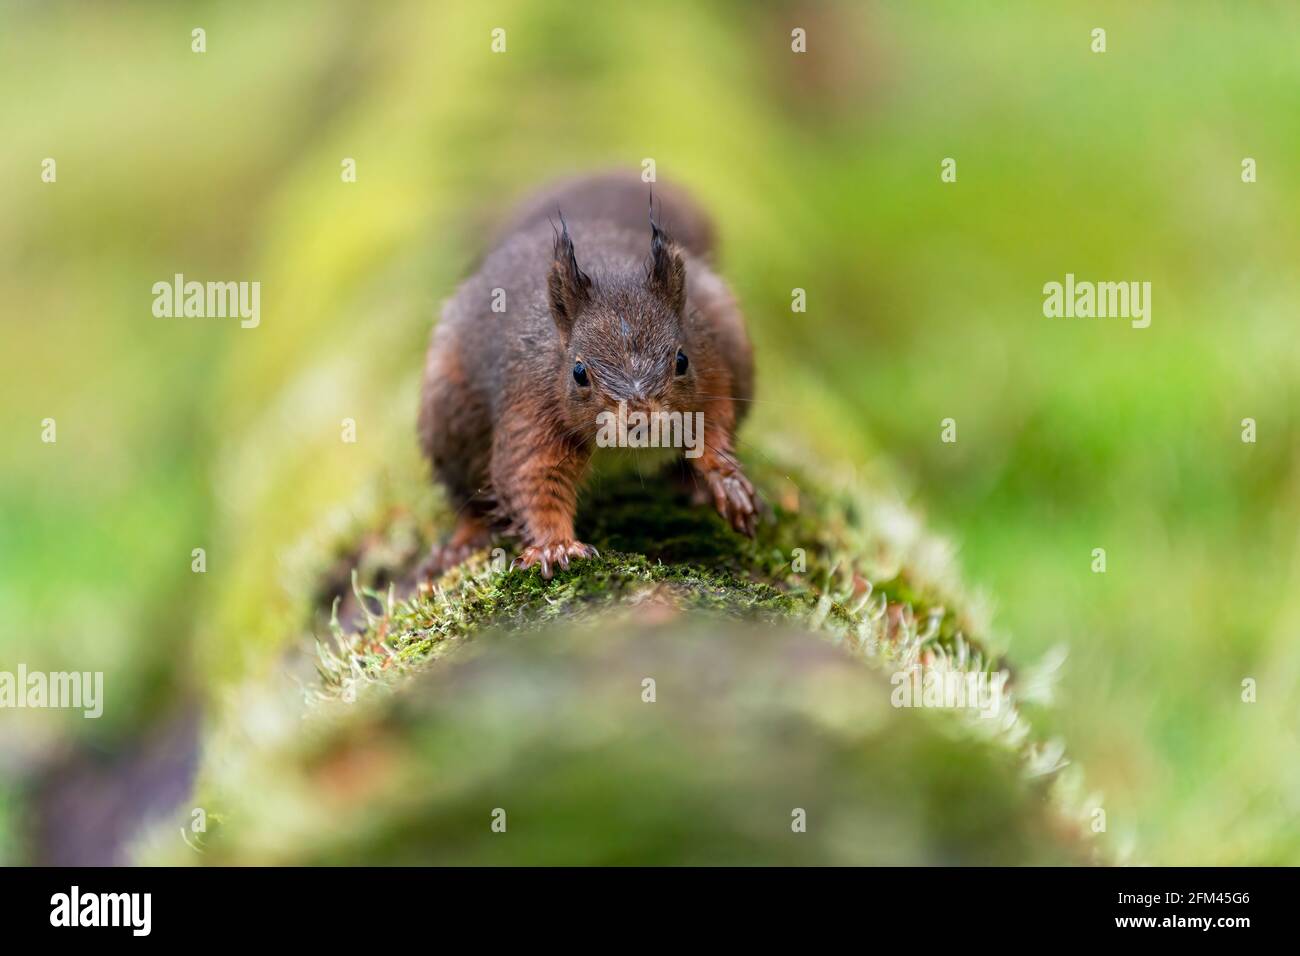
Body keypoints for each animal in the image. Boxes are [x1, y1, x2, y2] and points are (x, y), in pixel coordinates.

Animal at [417, 171, 757, 580]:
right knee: (467, 497)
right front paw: (555, 546)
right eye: (579, 372)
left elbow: (714, 423)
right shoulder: (531, 403)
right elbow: (531, 476)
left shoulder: (711, 364)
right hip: (448, 415)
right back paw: (464, 541)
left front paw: (724, 479)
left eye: (681, 361)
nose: (640, 421)